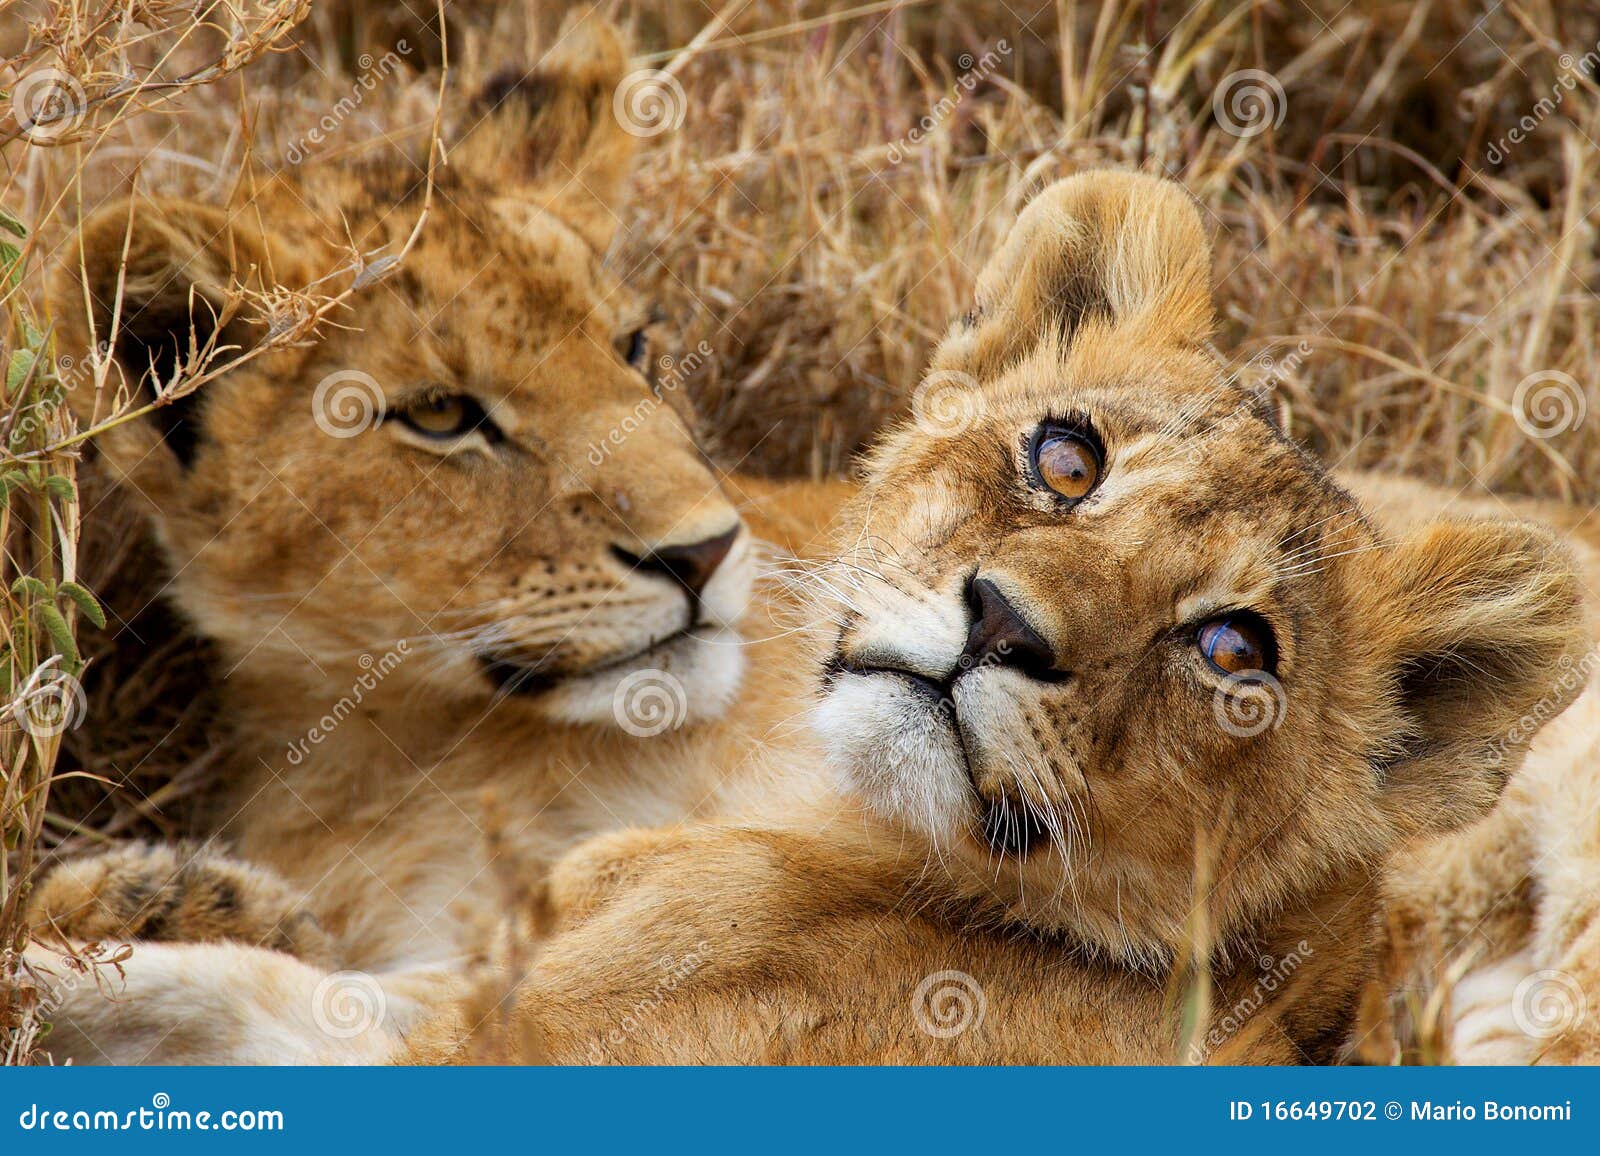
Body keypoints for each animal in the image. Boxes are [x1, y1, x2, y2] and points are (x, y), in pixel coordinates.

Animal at [35, 171, 1592, 1064]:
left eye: (1232, 650)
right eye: (1066, 459)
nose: (1002, 622)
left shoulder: (507, 1047)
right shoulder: (459, 981)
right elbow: (183, 980)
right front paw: (149, 909)